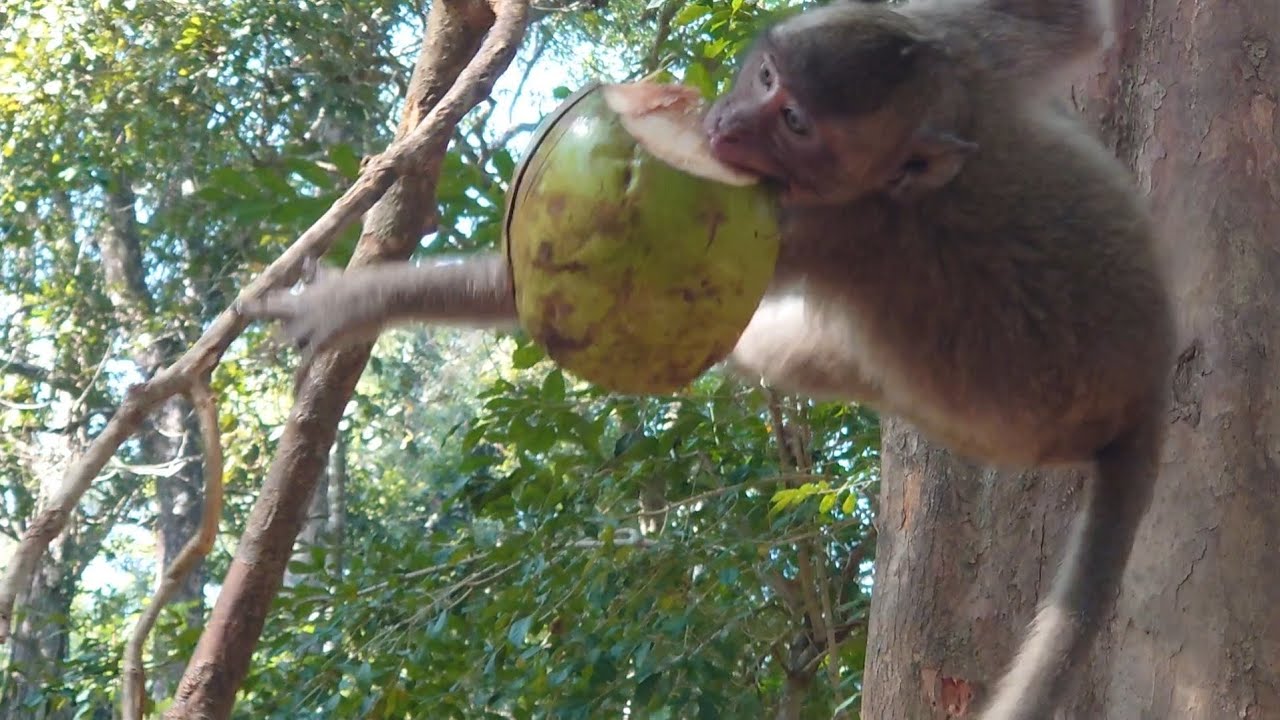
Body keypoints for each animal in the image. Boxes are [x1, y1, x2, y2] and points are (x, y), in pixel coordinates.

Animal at [240, 1, 1174, 718]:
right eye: (767, 84)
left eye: (795, 125)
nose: (725, 126)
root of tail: (1144, 394)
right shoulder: (966, 47)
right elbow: (1073, 21)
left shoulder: (811, 223)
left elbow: (520, 292)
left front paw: (354, 305)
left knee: (781, 349)